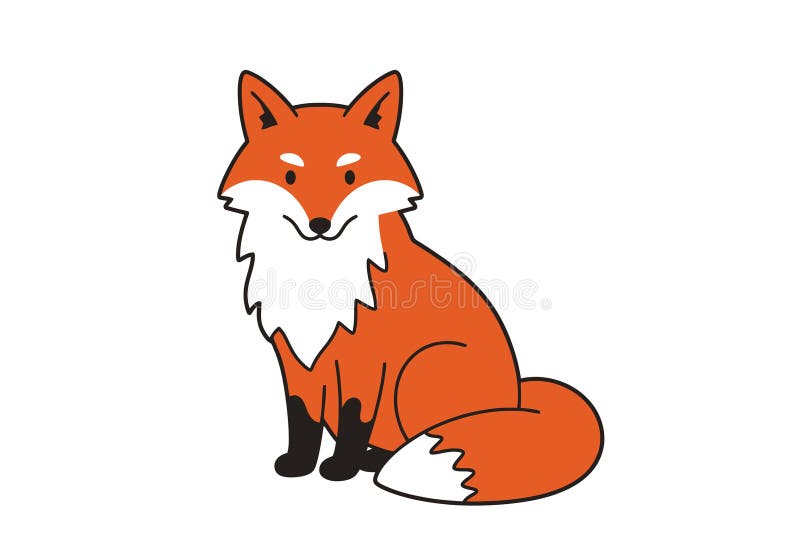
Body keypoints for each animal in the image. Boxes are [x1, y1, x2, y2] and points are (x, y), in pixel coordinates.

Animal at [218, 70, 603, 504]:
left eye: (350, 176)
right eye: (290, 176)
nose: (320, 225)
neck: (317, 273)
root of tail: (519, 398)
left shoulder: (365, 360)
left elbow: (354, 417)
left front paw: (341, 469)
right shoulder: (295, 358)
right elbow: (301, 419)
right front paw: (300, 465)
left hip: (421, 369)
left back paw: (377, 463)